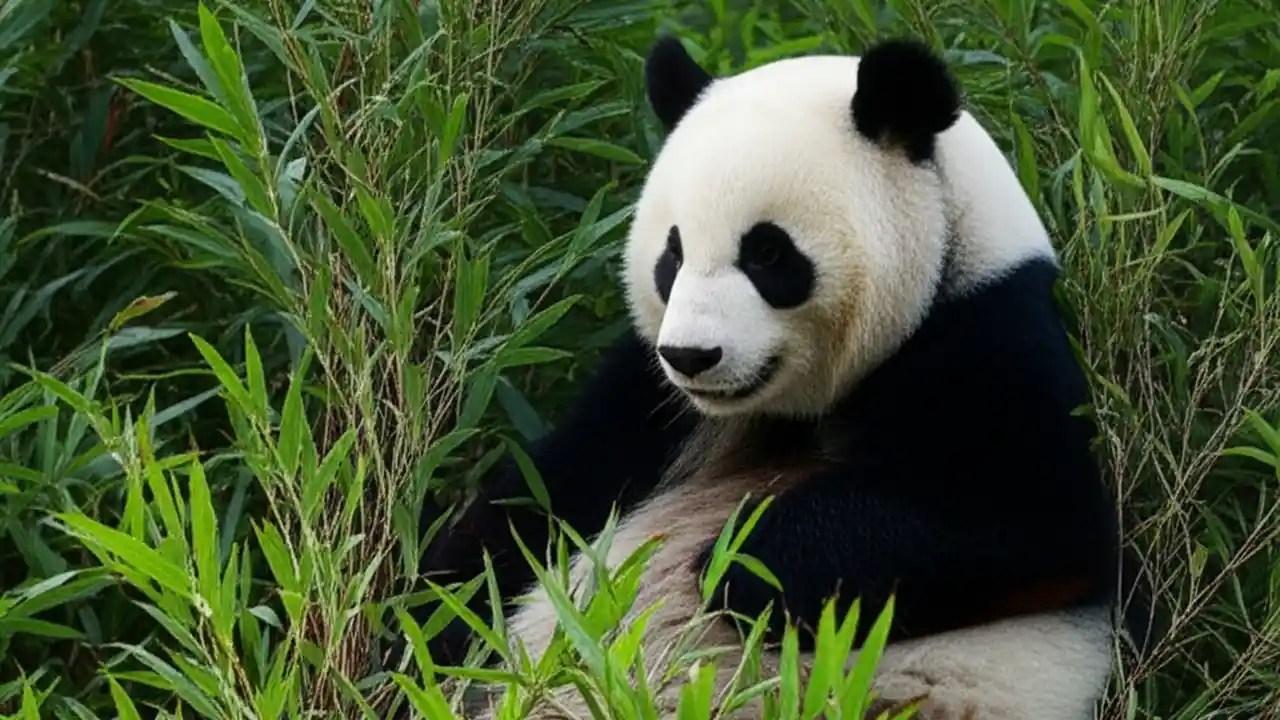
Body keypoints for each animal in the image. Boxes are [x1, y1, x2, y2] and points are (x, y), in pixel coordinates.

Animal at [414, 36, 1159, 720]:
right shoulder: (653, 397)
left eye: (769, 254)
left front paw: (736, 556)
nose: (692, 356)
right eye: (672, 254)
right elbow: (530, 510)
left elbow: (1035, 517)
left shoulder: (987, 332)